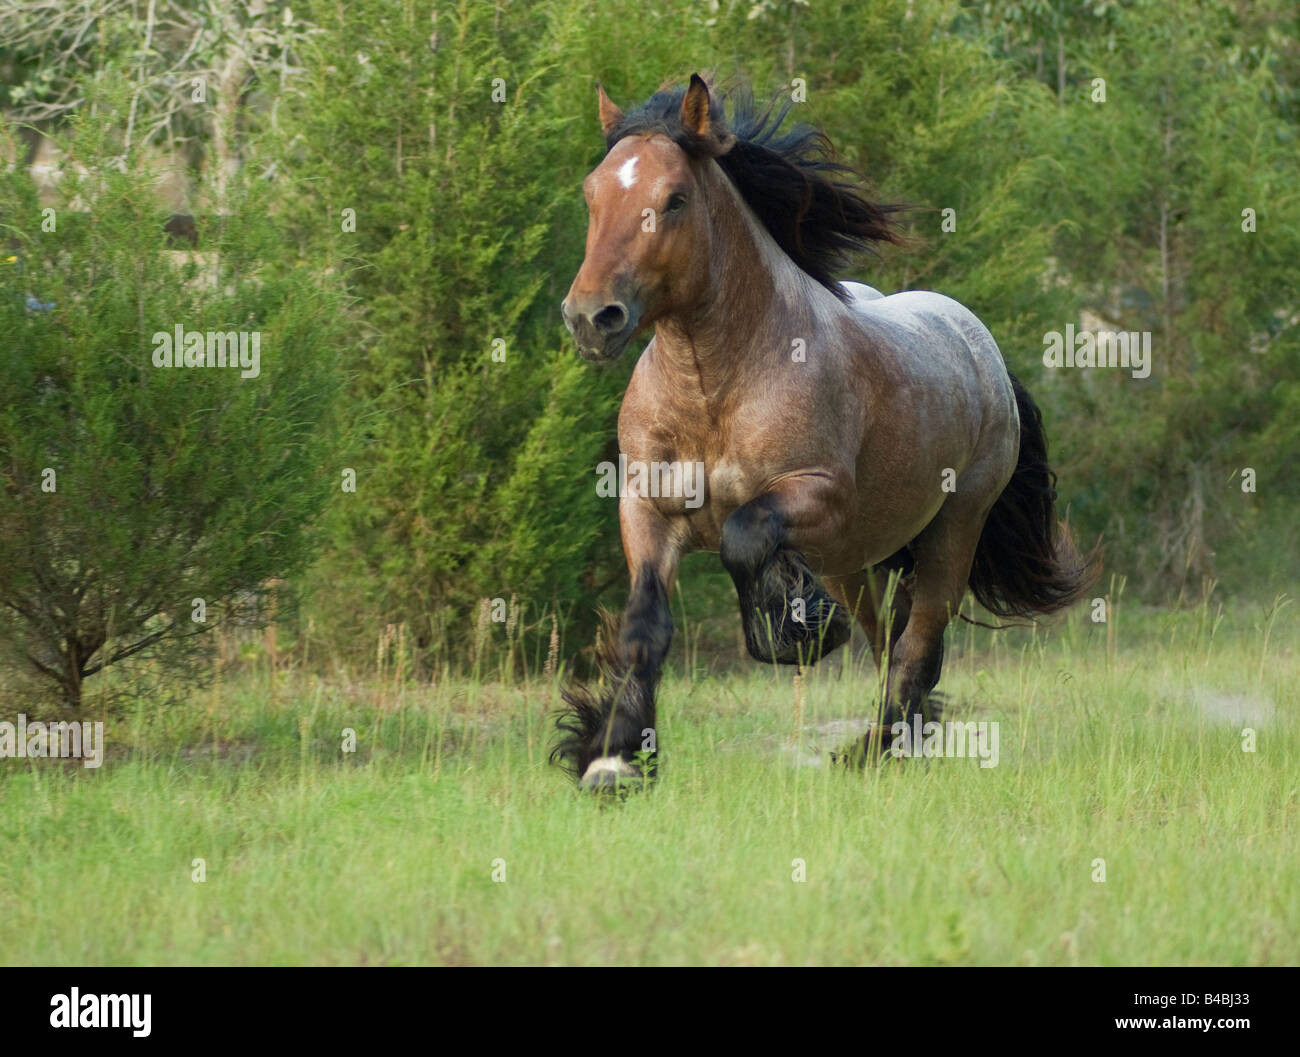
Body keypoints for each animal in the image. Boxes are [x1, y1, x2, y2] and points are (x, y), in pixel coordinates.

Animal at [554, 74, 1096, 790]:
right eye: (592, 192)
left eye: (673, 200)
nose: (592, 317)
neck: (712, 392)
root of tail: (983, 351)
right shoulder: (648, 509)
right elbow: (645, 625)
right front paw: (612, 757)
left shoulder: (818, 495)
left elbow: (743, 537)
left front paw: (791, 634)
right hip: (850, 562)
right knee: (887, 636)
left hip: (952, 532)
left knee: (916, 642)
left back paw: (875, 747)